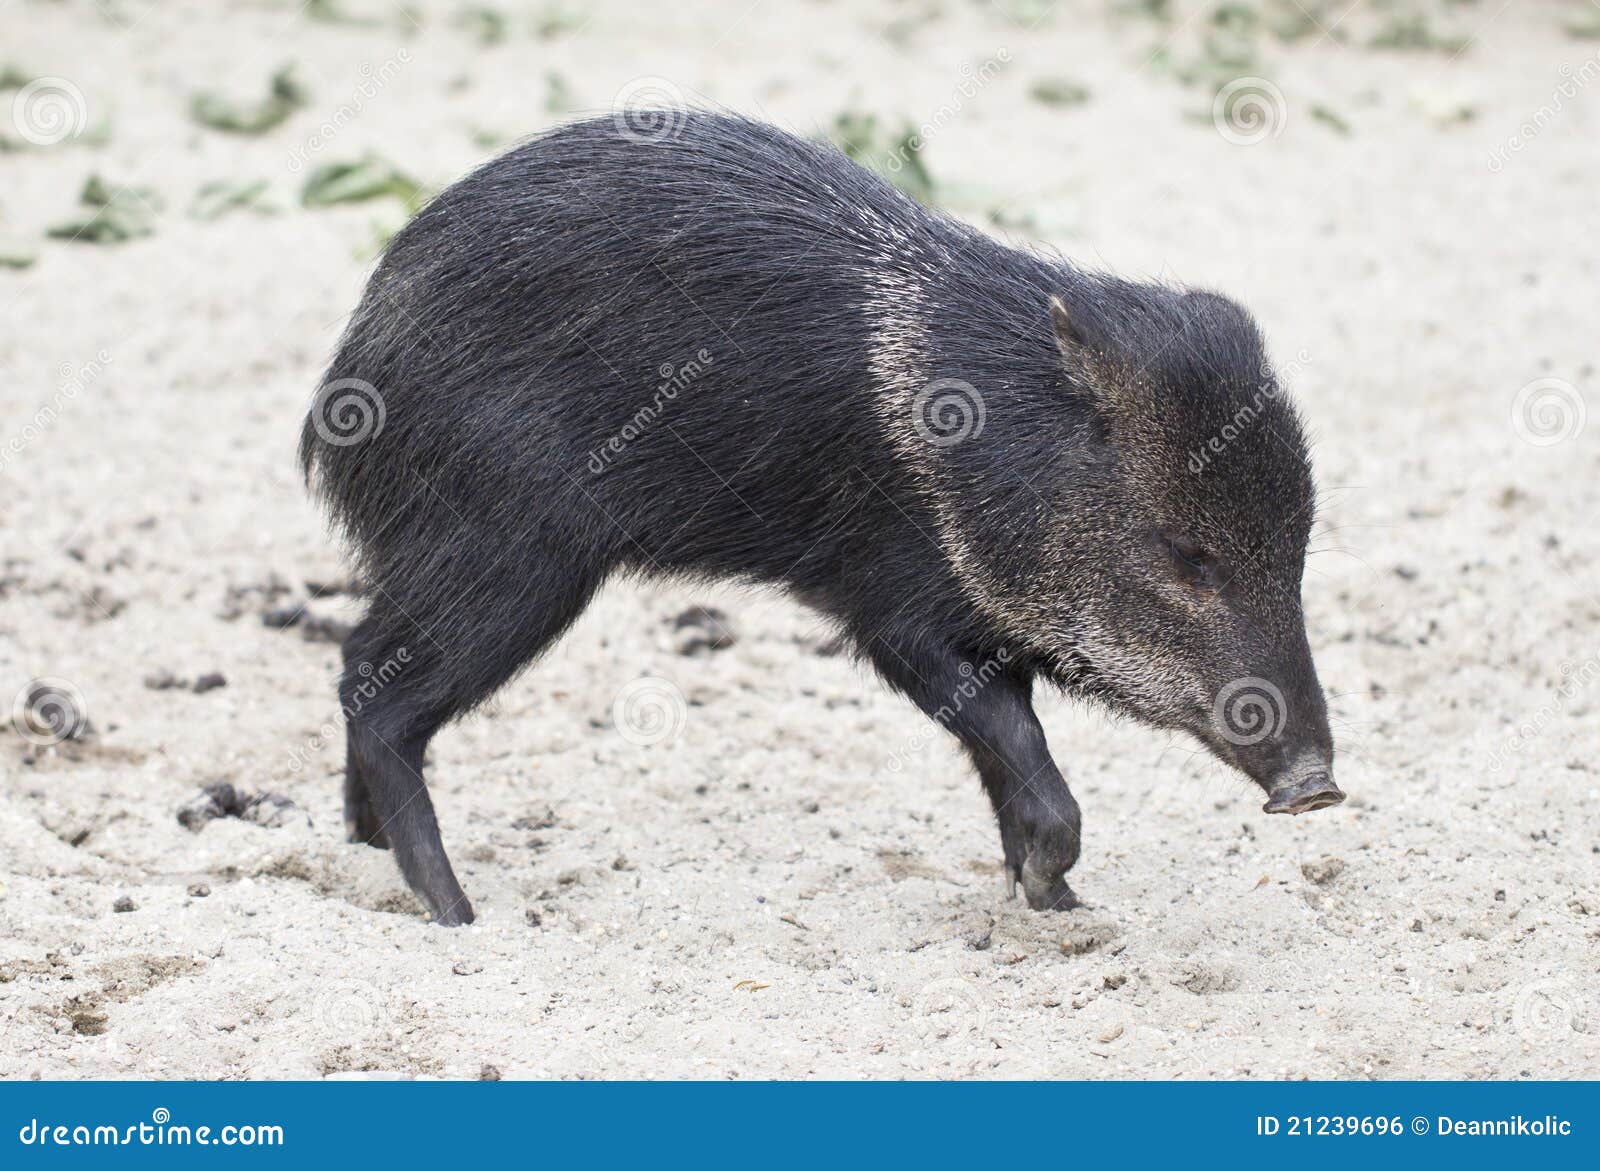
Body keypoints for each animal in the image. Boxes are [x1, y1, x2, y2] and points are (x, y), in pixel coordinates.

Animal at [300, 111, 1341, 926]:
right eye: (1188, 556)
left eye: (1300, 549)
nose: (1319, 787)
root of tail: (342, 399)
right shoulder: (896, 610)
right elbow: (1017, 752)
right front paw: (1054, 881)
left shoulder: (986, 626)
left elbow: (1011, 764)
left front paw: (1055, 902)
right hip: (508, 557)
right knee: (376, 697)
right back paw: (452, 908)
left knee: (360, 666)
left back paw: (363, 847)